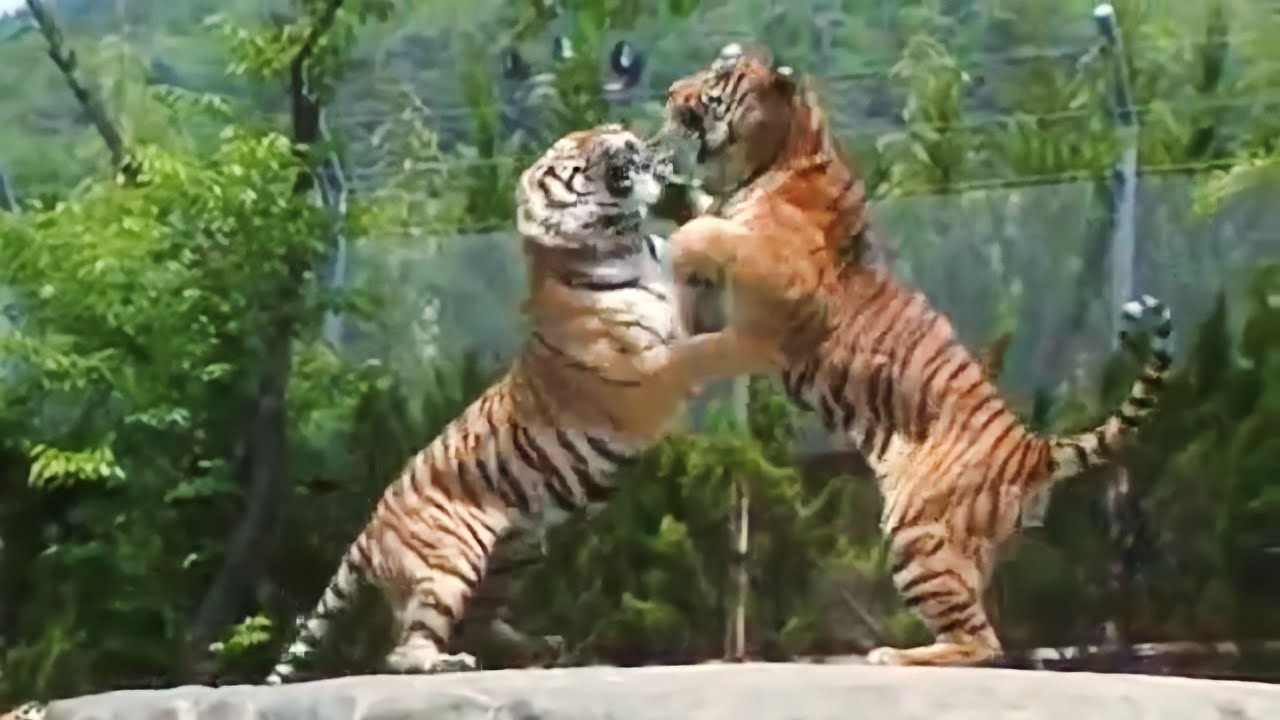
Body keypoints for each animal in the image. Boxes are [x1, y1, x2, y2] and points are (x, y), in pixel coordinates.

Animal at [262, 124, 796, 685]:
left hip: (512, 557)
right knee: (403, 650)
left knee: (477, 620)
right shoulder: (649, 370)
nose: (621, 134)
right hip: (450, 559)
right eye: (573, 153)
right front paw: (763, 340)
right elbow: (707, 351)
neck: (629, 244)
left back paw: (539, 647)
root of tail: (369, 528)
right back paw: (445, 662)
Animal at [657, 46, 1174, 667]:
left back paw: (894, 656)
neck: (775, 154)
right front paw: (663, 192)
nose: (670, 91)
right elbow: (700, 217)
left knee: (982, 644)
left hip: (916, 529)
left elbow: (713, 229)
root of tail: (1029, 446)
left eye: (717, 78)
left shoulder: (773, 272)